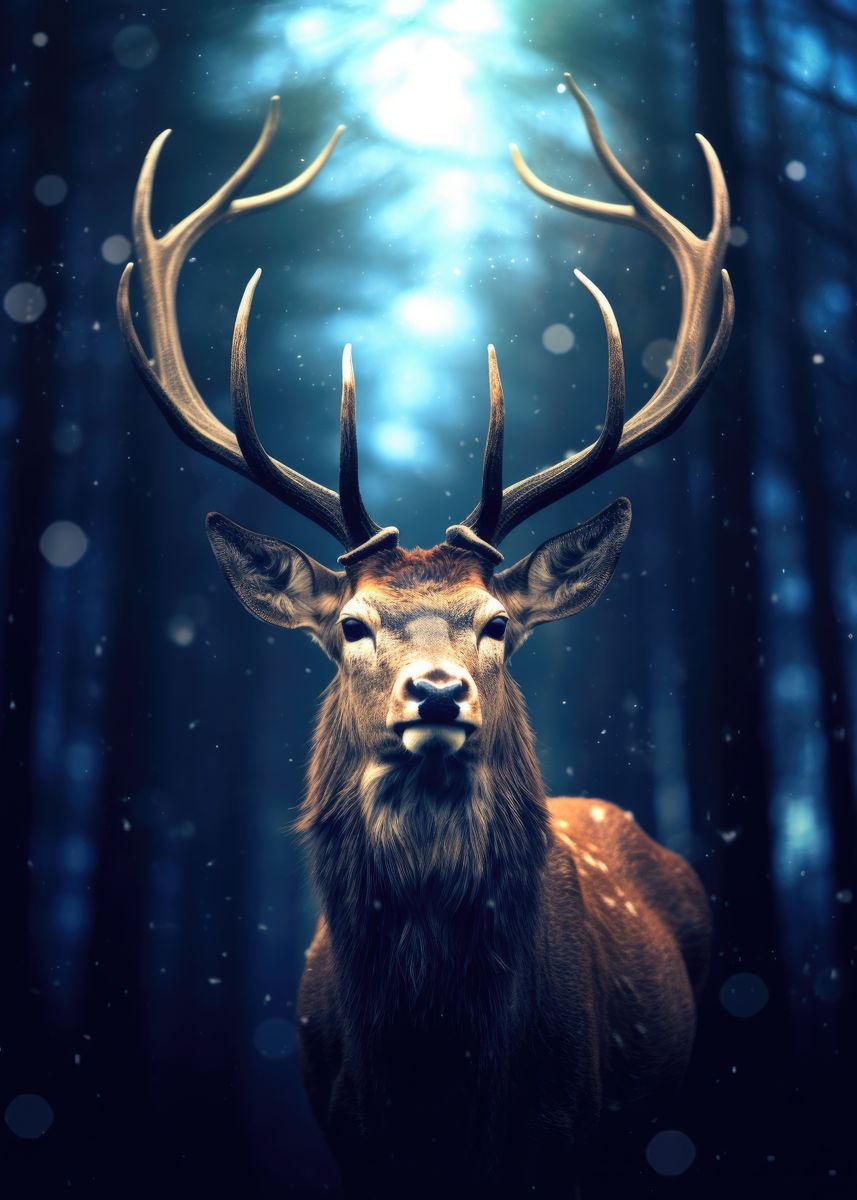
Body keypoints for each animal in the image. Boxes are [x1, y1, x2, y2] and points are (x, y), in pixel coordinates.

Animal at [117, 74, 733, 1198]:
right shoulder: (350, 1137)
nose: (438, 693)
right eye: (350, 625)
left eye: (499, 624)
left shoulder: (565, 1128)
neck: (435, 1079)